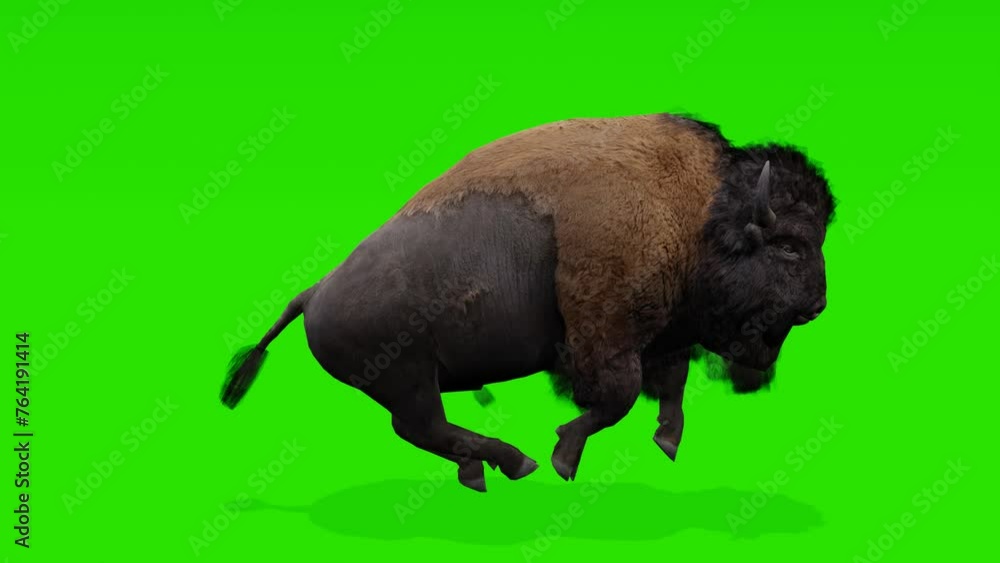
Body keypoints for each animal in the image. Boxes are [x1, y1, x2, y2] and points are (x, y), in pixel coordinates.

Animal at [221, 113, 835, 492]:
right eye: (788, 245)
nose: (818, 306)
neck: (699, 214)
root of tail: (314, 292)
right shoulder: (606, 336)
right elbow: (617, 398)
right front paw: (564, 458)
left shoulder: (664, 335)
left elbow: (670, 386)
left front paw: (667, 443)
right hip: (408, 377)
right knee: (420, 427)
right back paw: (514, 462)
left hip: (409, 383)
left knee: (421, 431)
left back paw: (482, 472)